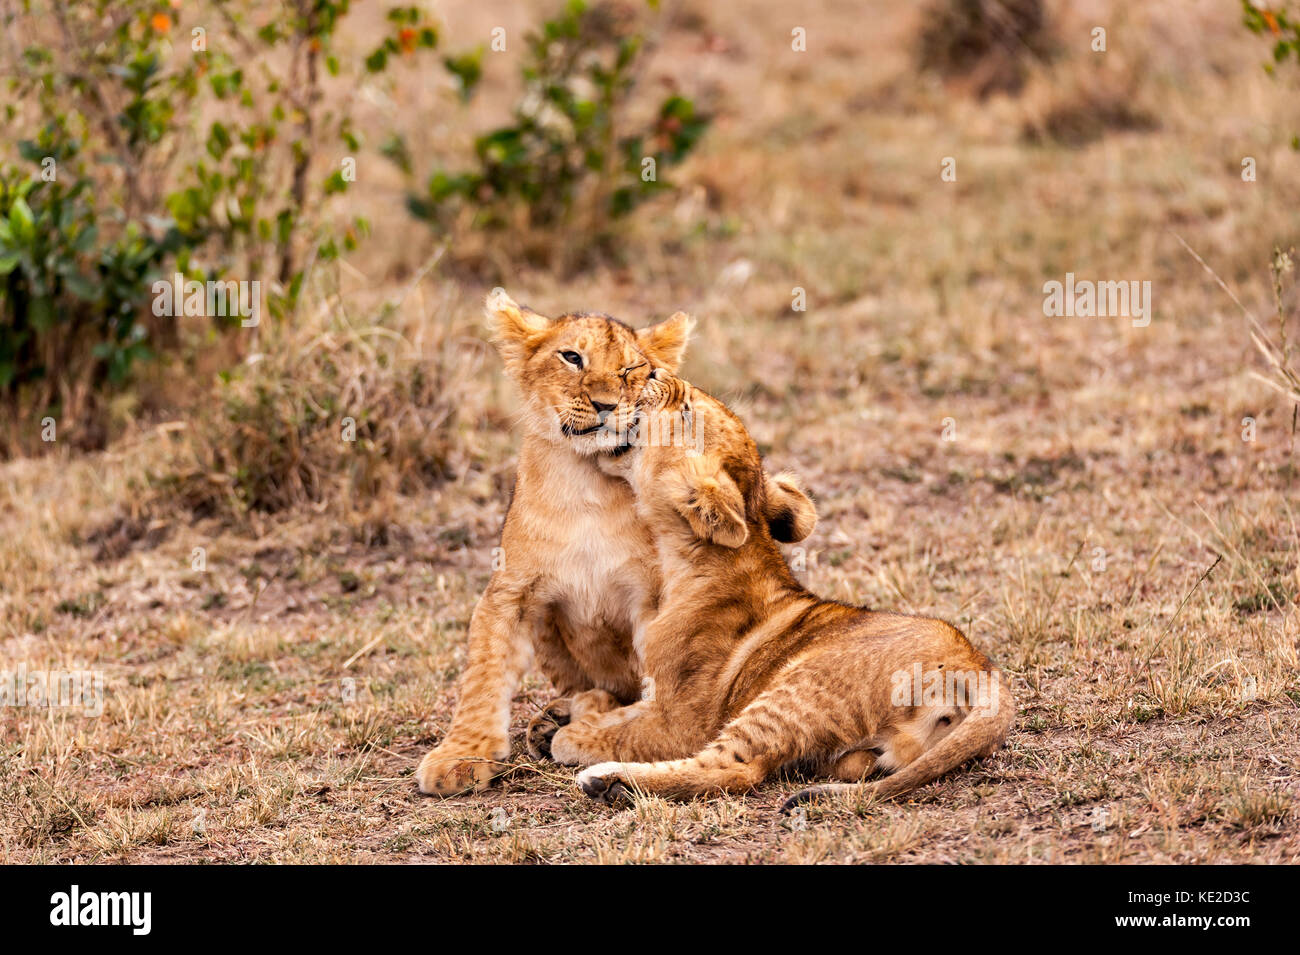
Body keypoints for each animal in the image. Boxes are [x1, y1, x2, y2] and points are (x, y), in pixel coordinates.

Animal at [415, 292, 816, 796]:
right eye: (572, 357)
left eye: (630, 369)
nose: (606, 405)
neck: (587, 484)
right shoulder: (511, 587)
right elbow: (483, 671)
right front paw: (460, 755)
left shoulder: (653, 598)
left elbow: (655, 688)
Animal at [544, 370, 1015, 807]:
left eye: (686, 412)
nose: (655, 372)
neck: (679, 559)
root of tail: (976, 665)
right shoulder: (656, 694)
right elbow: (621, 710)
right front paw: (573, 709)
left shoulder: (682, 722)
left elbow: (620, 733)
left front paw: (567, 734)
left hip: (795, 690)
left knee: (733, 768)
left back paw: (607, 781)